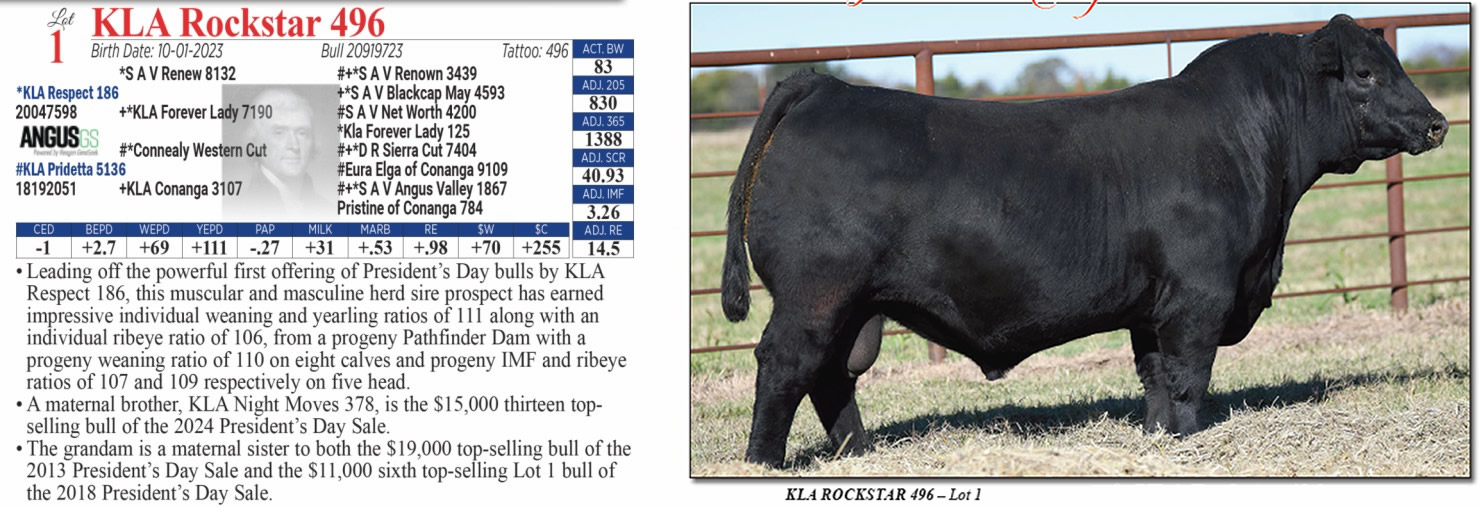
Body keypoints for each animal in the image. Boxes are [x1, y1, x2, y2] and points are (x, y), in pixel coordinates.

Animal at [720, 14, 1448, 467]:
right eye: (1364, 75)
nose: (1437, 122)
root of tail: (823, 85)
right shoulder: (1198, 300)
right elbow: (1189, 383)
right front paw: (1190, 442)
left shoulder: (1153, 310)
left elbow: (1156, 384)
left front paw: (1160, 441)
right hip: (815, 296)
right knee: (785, 366)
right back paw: (763, 463)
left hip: (852, 307)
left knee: (831, 378)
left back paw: (860, 455)